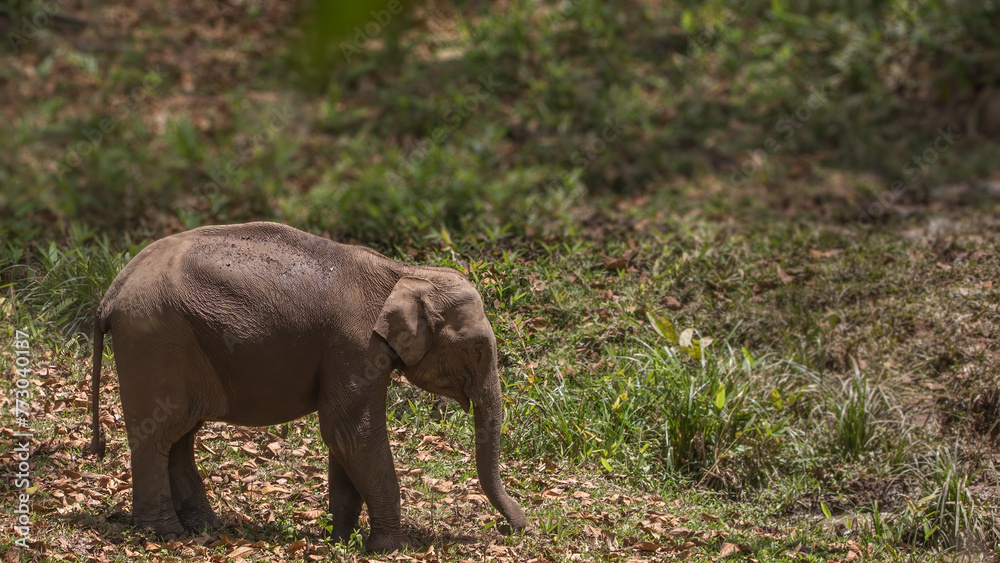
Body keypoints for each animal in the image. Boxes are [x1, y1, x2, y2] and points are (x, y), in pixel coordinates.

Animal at [89, 221, 526, 551]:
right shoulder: (354, 345)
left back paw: (206, 527)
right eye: (478, 348)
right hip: (156, 340)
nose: (520, 528)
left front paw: (341, 540)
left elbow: (344, 440)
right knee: (157, 436)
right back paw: (164, 533)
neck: (403, 271)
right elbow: (353, 433)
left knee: (179, 436)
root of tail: (110, 294)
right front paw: (386, 547)